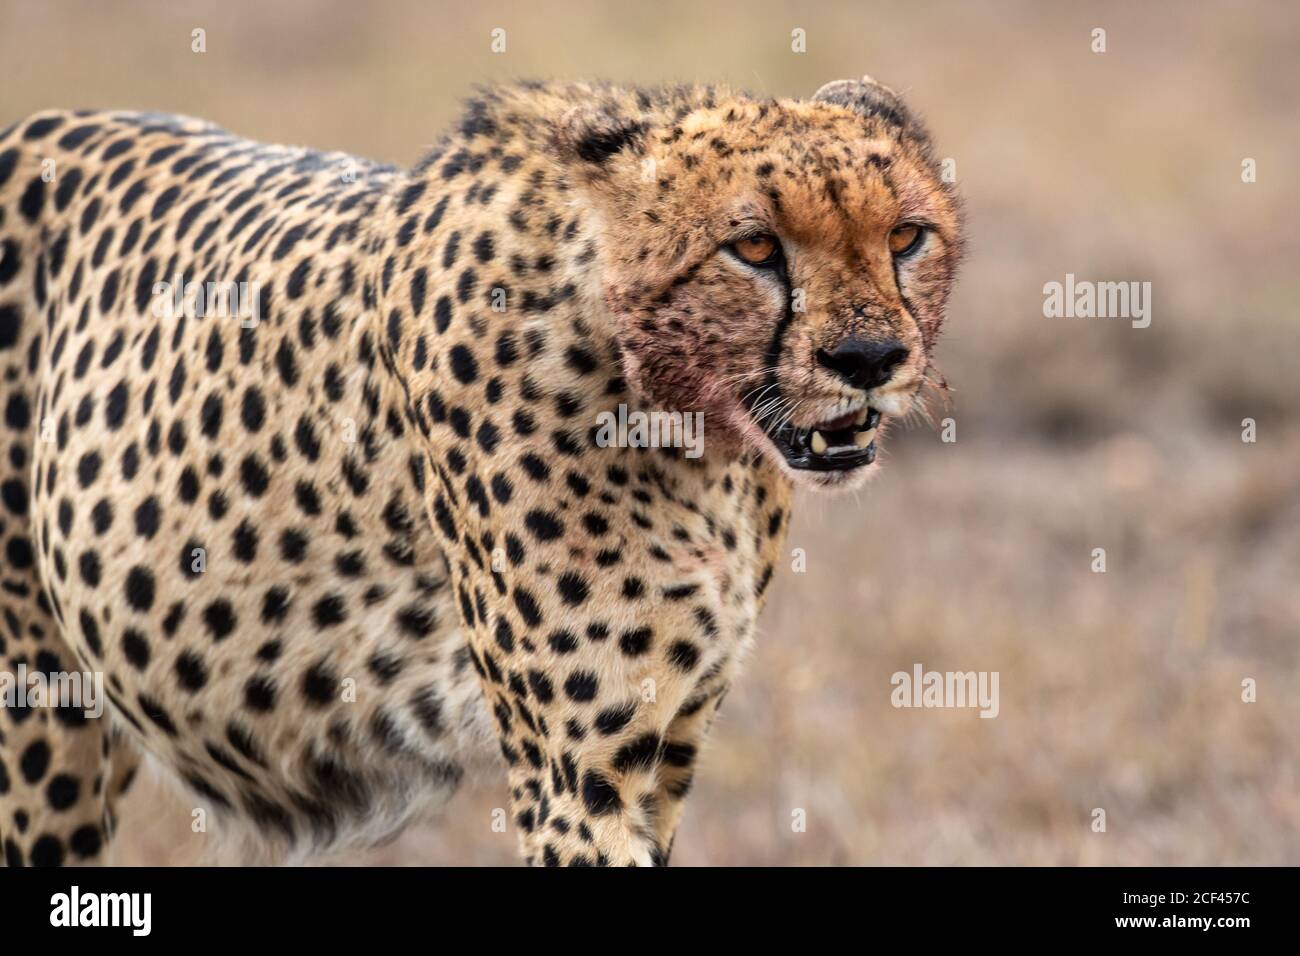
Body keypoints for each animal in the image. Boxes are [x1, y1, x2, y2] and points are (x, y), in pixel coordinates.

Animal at [0, 76, 963, 867]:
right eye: (755, 248)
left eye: (906, 237)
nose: (870, 358)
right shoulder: (578, 773)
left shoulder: (670, 746)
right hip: (39, 728)